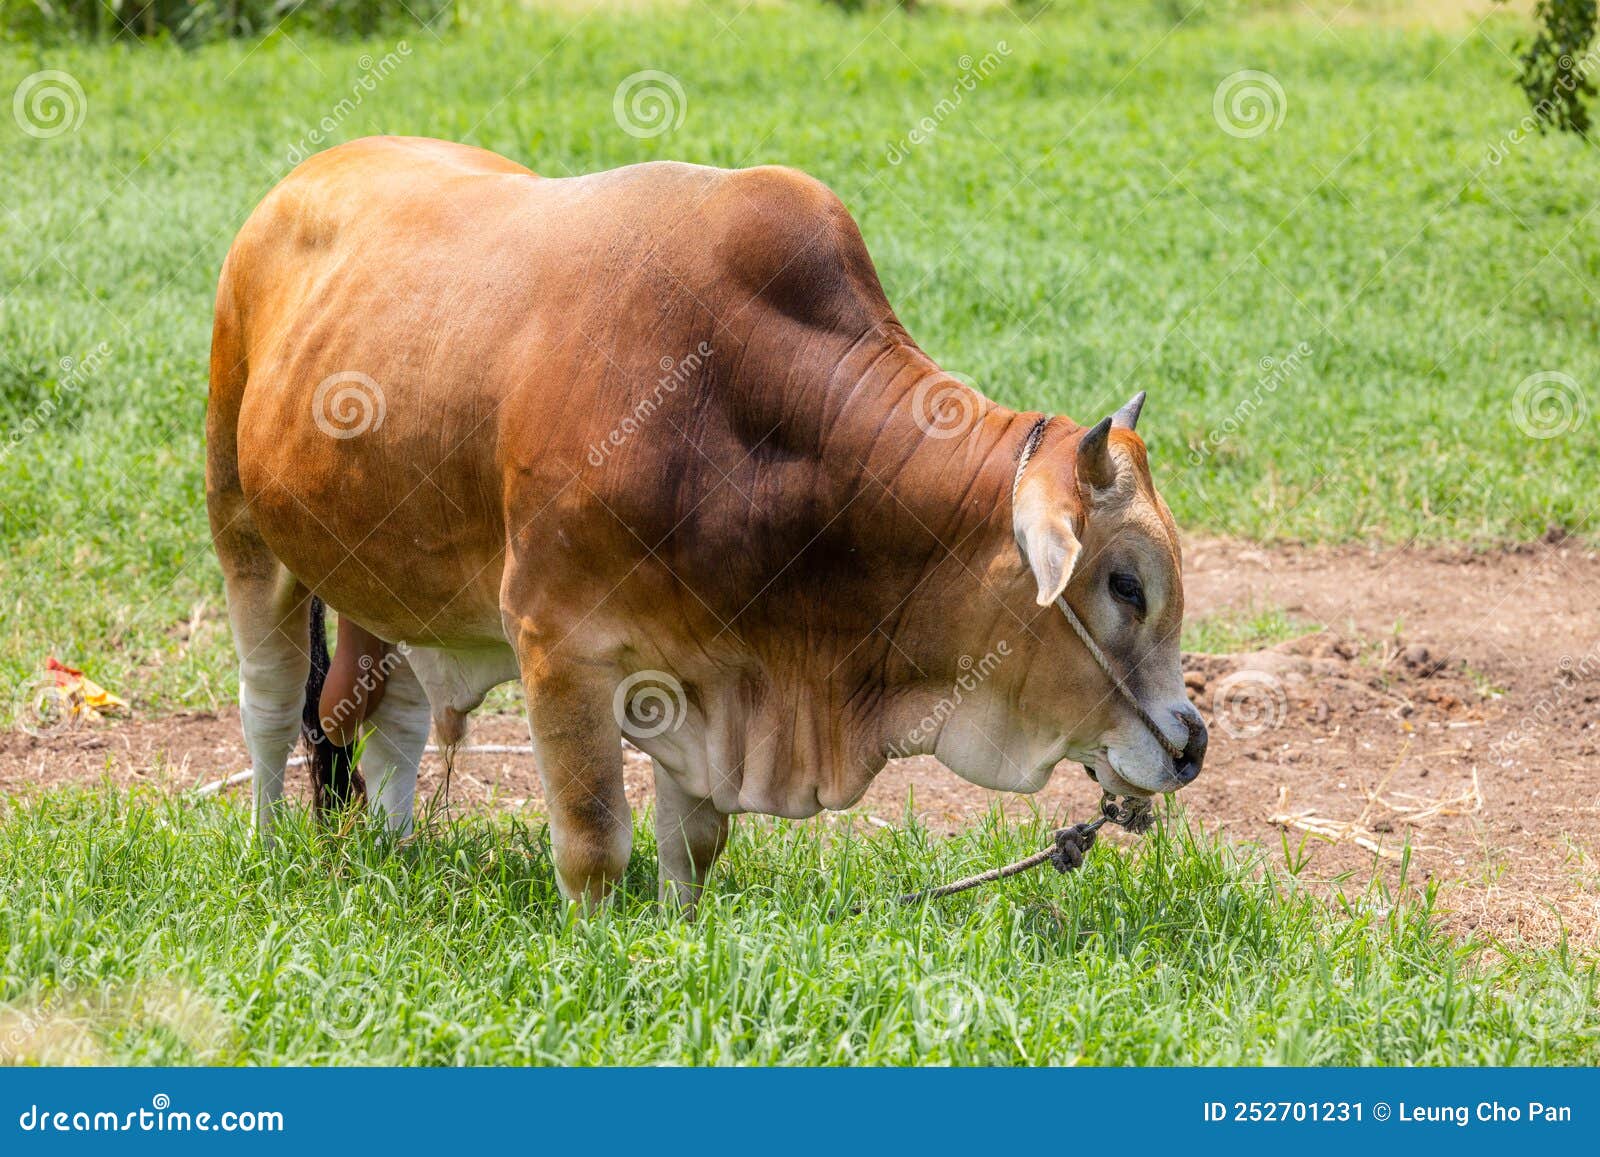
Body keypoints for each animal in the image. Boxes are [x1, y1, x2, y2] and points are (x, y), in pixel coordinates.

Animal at [206, 136, 1206, 909]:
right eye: (1126, 584)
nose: (1191, 743)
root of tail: (301, 178)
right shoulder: (559, 647)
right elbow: (595, 841)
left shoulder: (708, 673)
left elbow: (693, 845)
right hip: (242, 527)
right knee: (272, 707)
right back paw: (266, 846)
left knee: (395, 724)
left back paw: (393, 849)